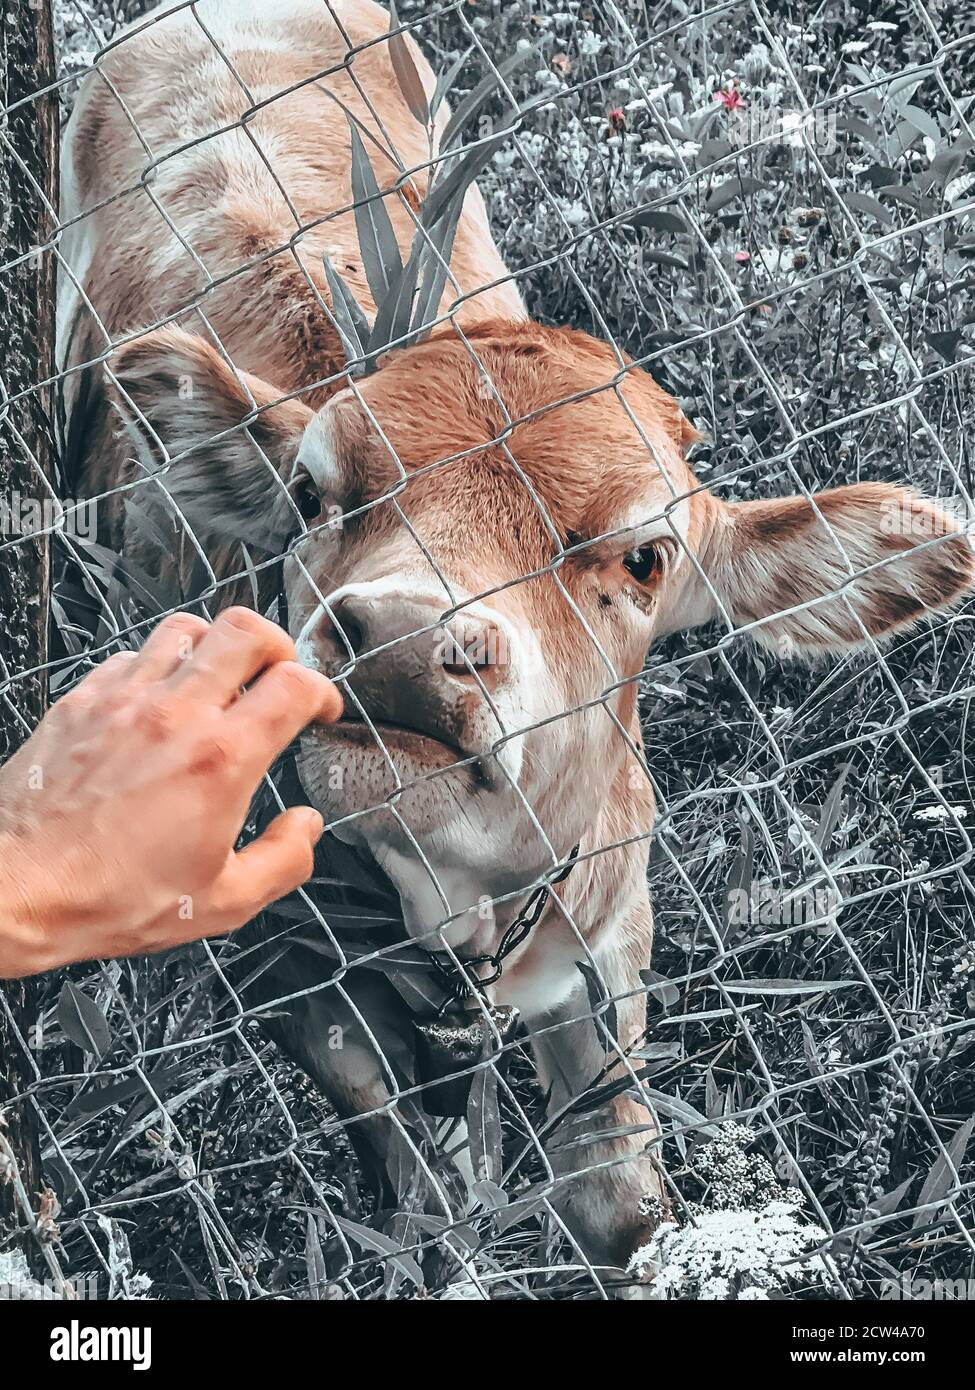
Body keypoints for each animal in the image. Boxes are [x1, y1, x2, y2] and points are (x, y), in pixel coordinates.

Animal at [58, 0, 974, 1284]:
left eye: (644, 558)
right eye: (311, 491)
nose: (401, 640)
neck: (459, 906)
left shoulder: (614, 933)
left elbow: (615, 1197)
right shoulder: (278, 964)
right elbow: (422, 1189)